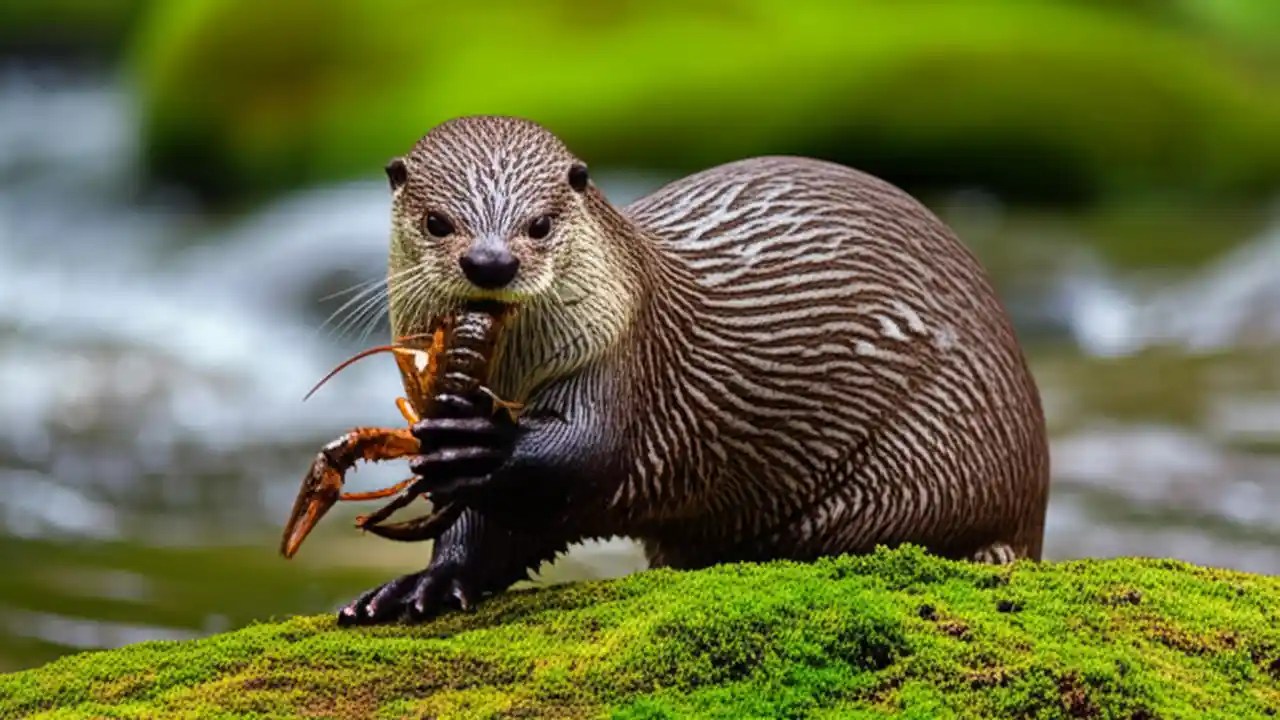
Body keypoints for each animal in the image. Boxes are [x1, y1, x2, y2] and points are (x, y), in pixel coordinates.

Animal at [336, 115, 1049, 624]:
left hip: (934, 462)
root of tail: (1033, 507)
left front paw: (489, 443)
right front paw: (416, 587)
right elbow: (484, 525)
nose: (490, 262)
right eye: (437, 222)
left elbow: (584, 457)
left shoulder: (616, 358)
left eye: (538, 225)